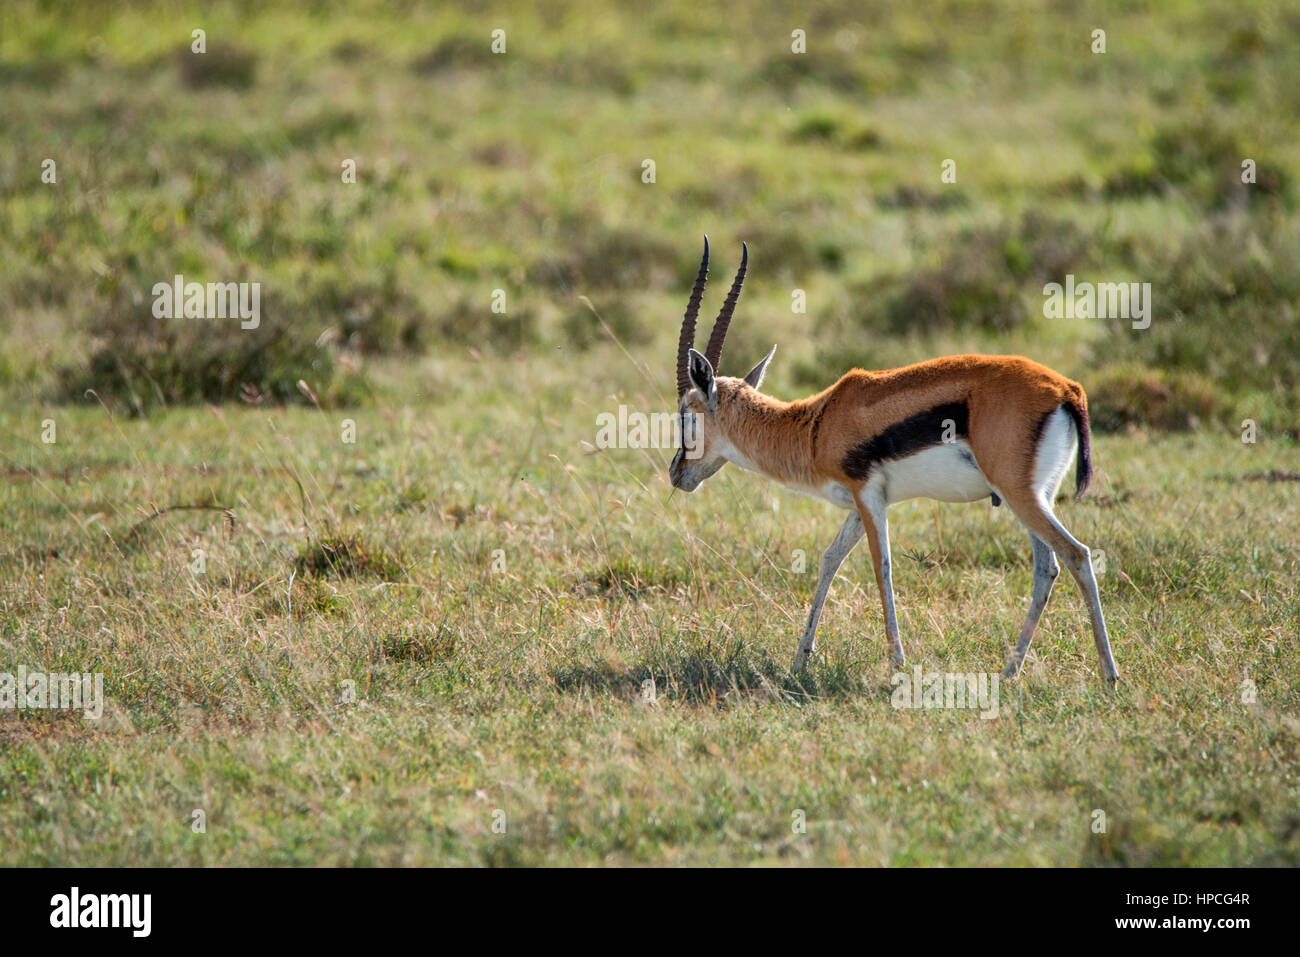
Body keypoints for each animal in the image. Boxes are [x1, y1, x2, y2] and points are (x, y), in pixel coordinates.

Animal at [668, 238, 1119, 685]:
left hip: (1019, 494)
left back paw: (1109, 676)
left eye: (686, 415)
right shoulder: (861, 502)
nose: (676, 473)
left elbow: (880, 566)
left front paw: (897, 664)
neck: (816, 425)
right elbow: (829, 561)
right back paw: (1010, 672)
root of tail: (1067, 389)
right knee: (1047, 568)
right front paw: (800, 661)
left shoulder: (868, 496)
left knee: (1077, 554)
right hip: (1034, 495)